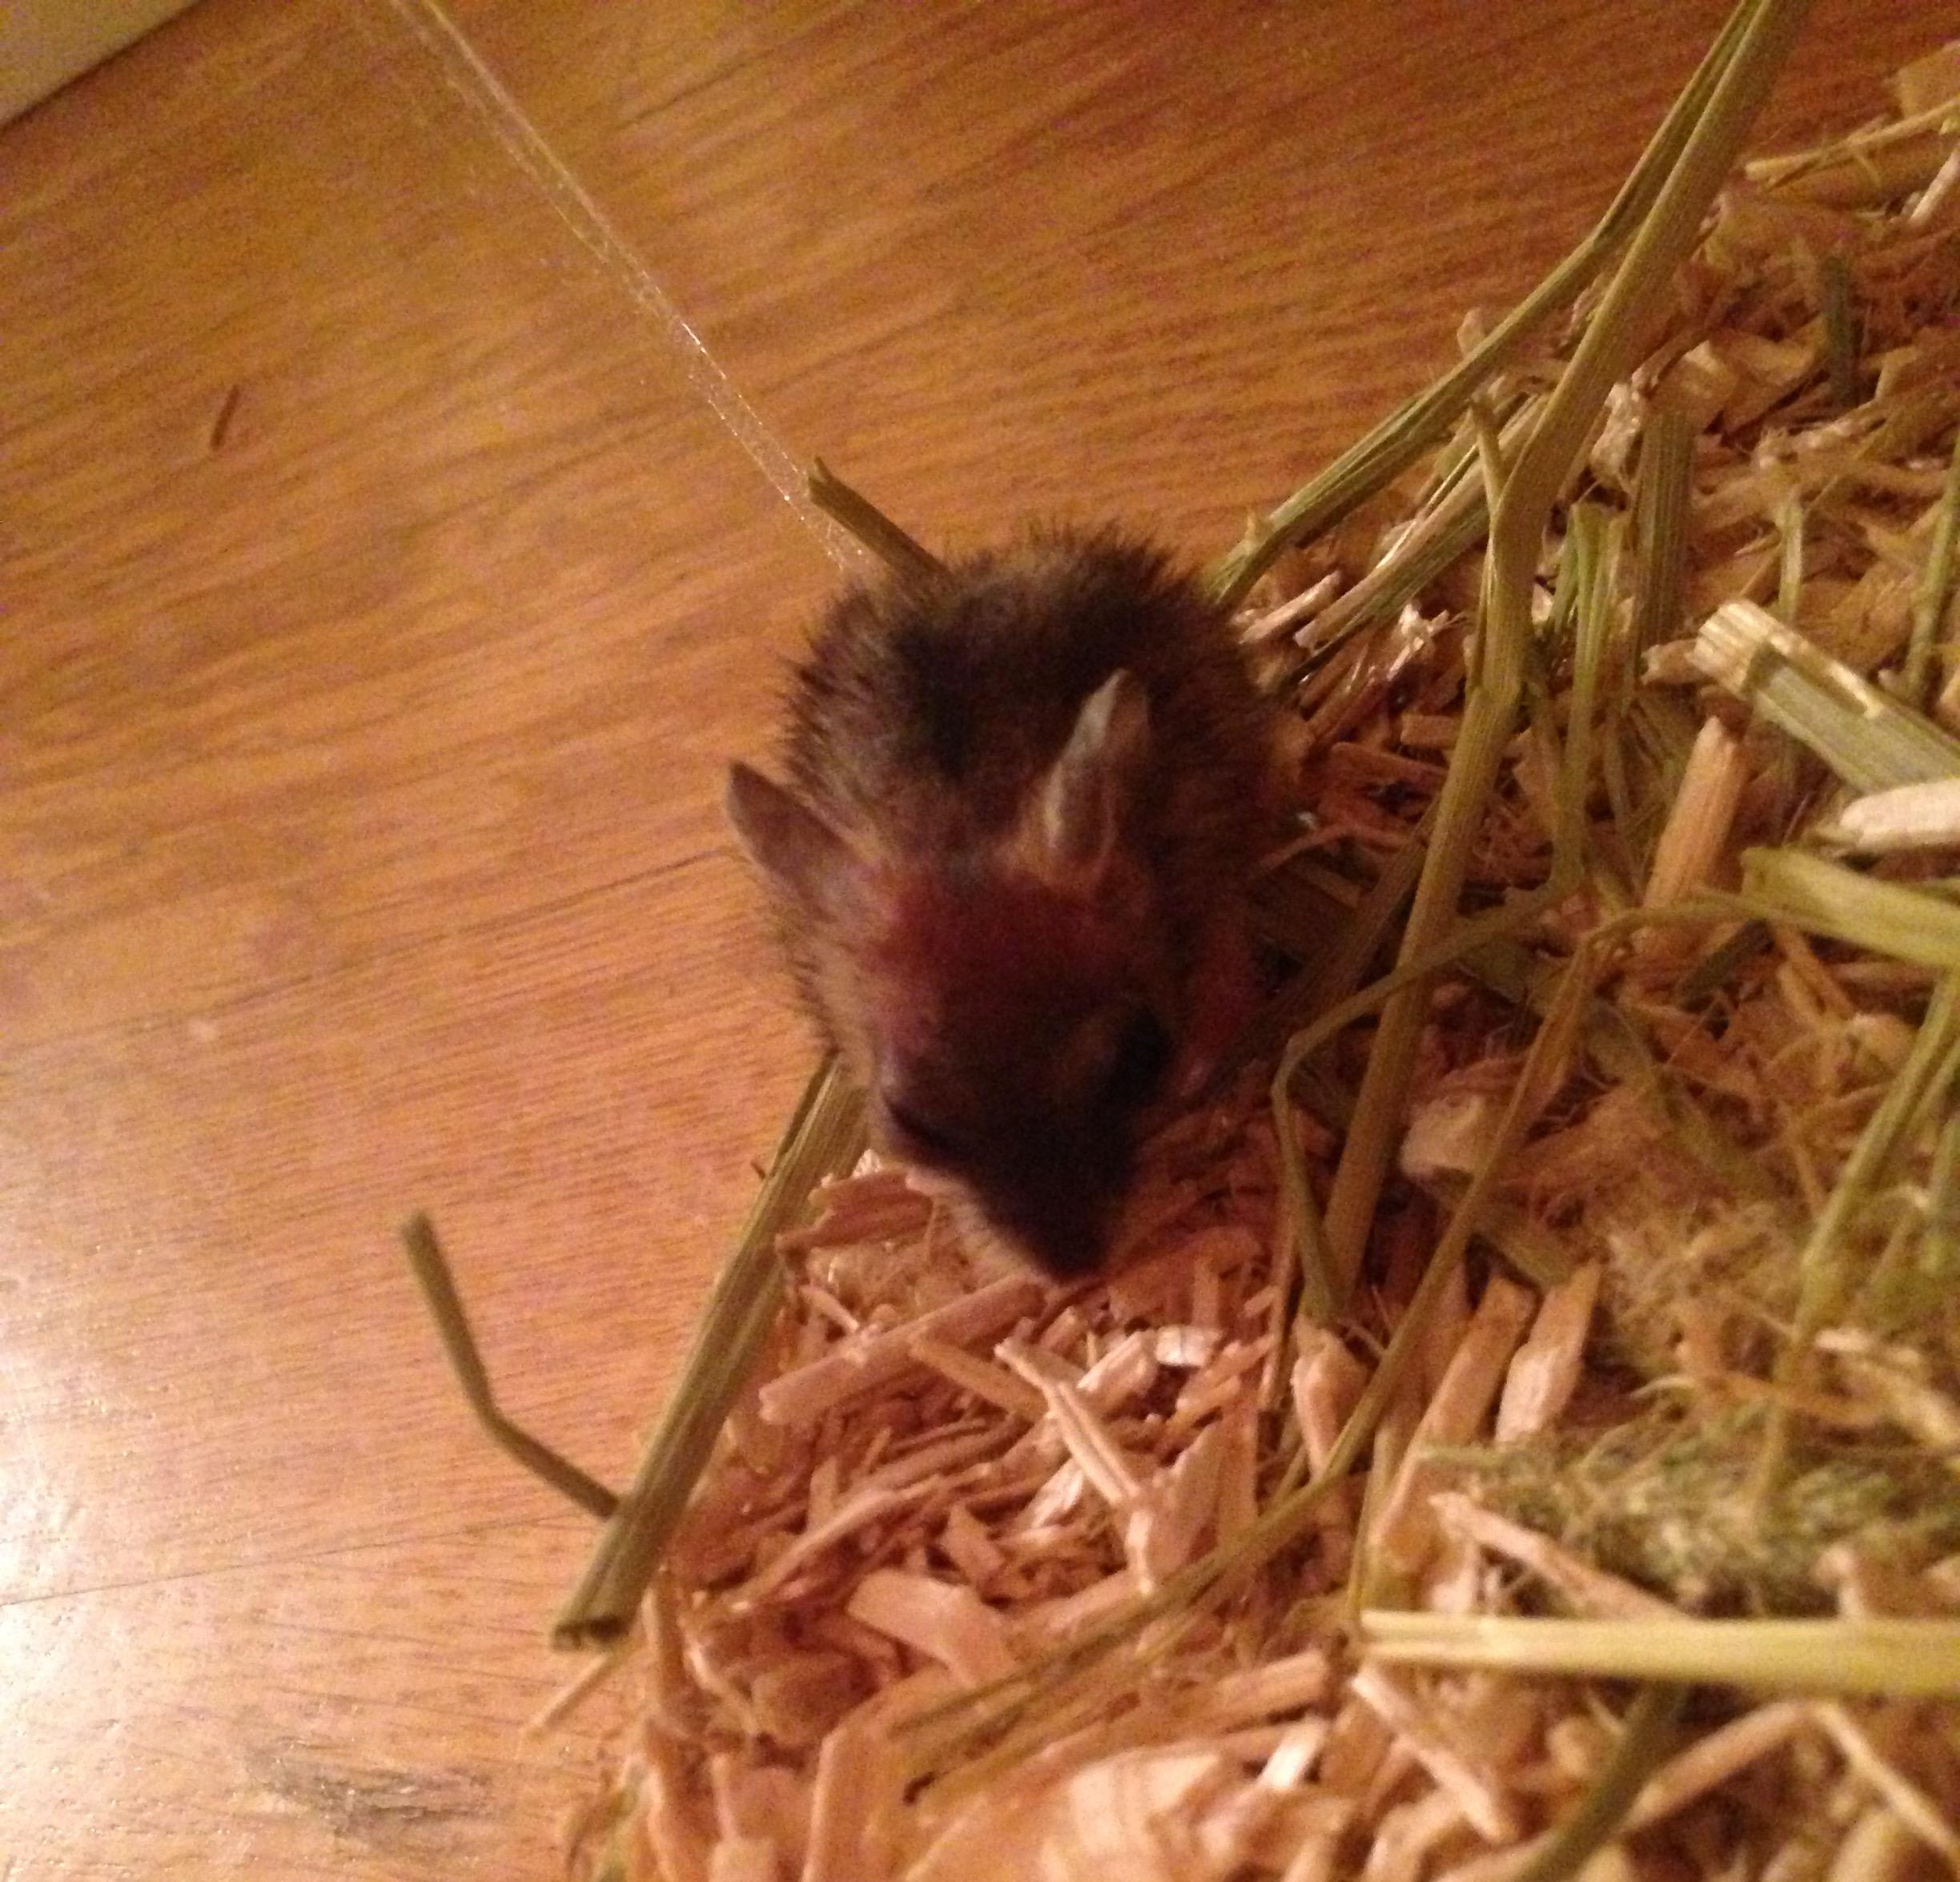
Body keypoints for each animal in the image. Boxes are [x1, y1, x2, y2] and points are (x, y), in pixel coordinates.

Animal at [726, 524, 1273, 1278]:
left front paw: (1198, 1074)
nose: (1075, 1274)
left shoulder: (1210, 860)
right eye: (909, 1119)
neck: (959, 813)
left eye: (1135, 1059)